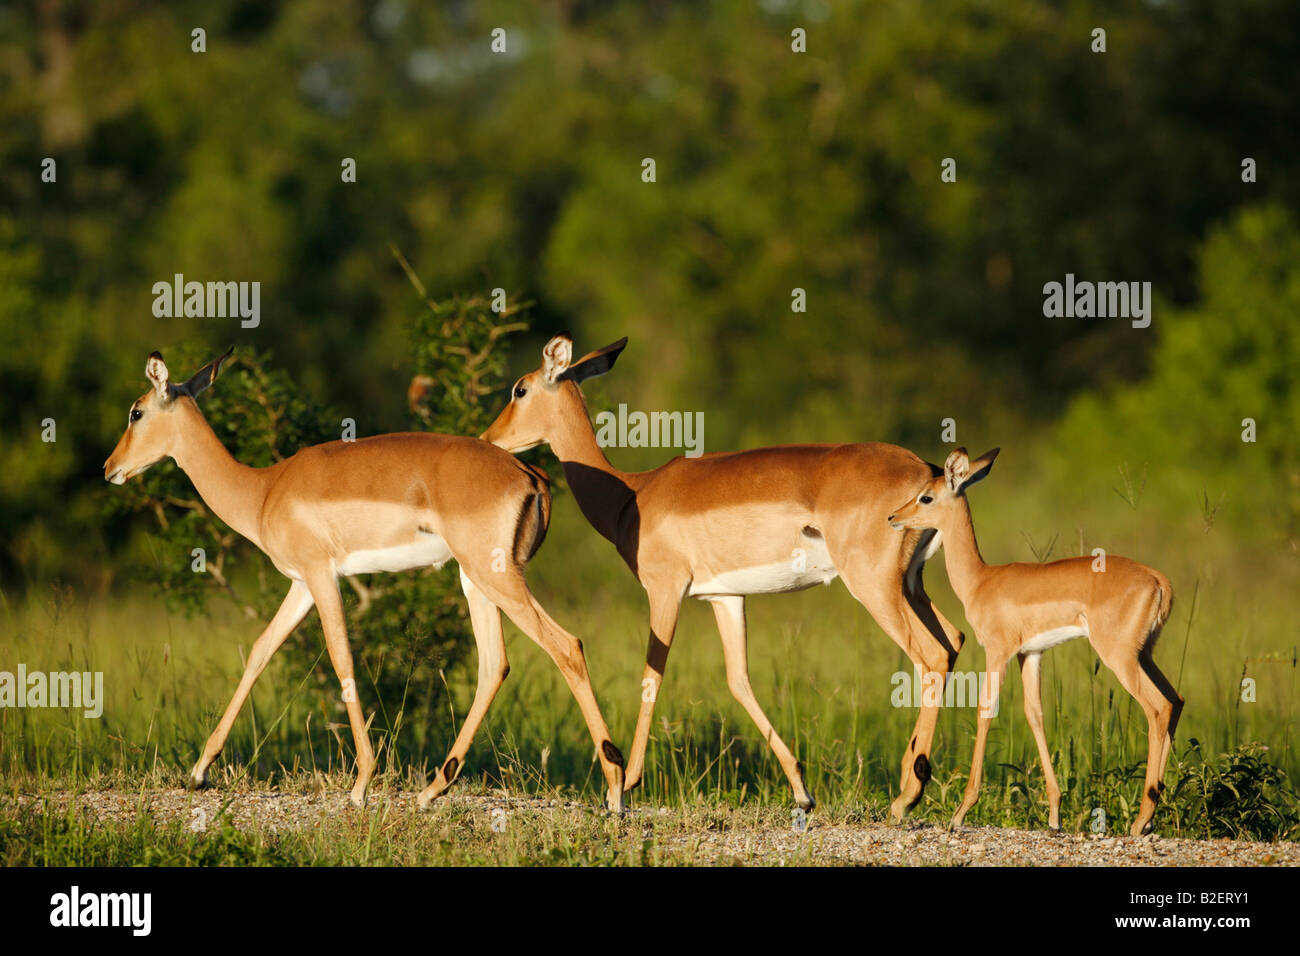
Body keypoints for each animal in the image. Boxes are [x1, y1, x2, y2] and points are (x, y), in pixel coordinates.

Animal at [104, 349, 626, 811]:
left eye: (136, 411)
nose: (109, 468)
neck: (263, 490)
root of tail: (531, 474)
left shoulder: (321, 576)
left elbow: (341, 659)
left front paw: (361, 784)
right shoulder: (300, 584)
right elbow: (259, 651)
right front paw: (198, 771)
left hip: (494, 577)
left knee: (566, 646)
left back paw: (616, 790)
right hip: (475, 581)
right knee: (494, 663)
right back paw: (432, 791)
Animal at [481, 333, 966, 819]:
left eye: (520, 389)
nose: (488, 439)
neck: (632, 495)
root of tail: (927, 474)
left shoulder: (664, 591)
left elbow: (651, 675)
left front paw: (623, 788)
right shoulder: (725, 598)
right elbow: (738, 680)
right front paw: (801, 791)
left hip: (874, 586)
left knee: (930, 655)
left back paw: (906, 797)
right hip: (911, 586)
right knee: (953, 640)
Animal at [888, 448, 1183, 835]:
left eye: (927, 496)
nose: (893, 517)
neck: (981, 580)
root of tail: (1159, 580)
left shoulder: (997, 651)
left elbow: (985, 711)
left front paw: (960, 812)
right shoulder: (1030, 654)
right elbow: (1035, 714)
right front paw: (1055, 815)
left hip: (1121, 657)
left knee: (1158, 707)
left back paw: (1141, 819)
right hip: (1145, 655)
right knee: (1176, 702)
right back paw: (1150, 813)